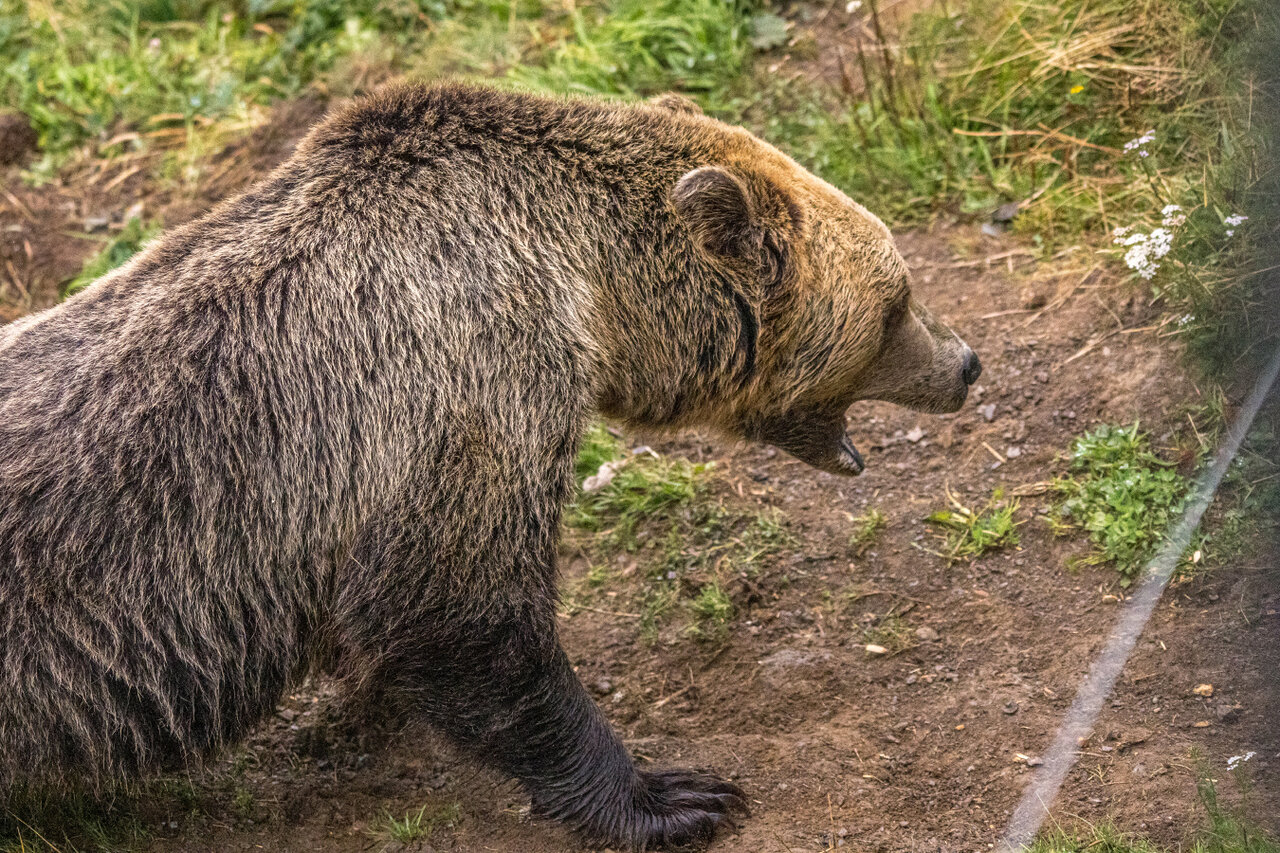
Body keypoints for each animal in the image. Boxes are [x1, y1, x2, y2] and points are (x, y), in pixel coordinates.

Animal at [0, 81, 979, 850]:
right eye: (895, 304)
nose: (966, 363)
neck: (587, 287)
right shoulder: (461, 390)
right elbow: (467, 613)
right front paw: (675, 796)